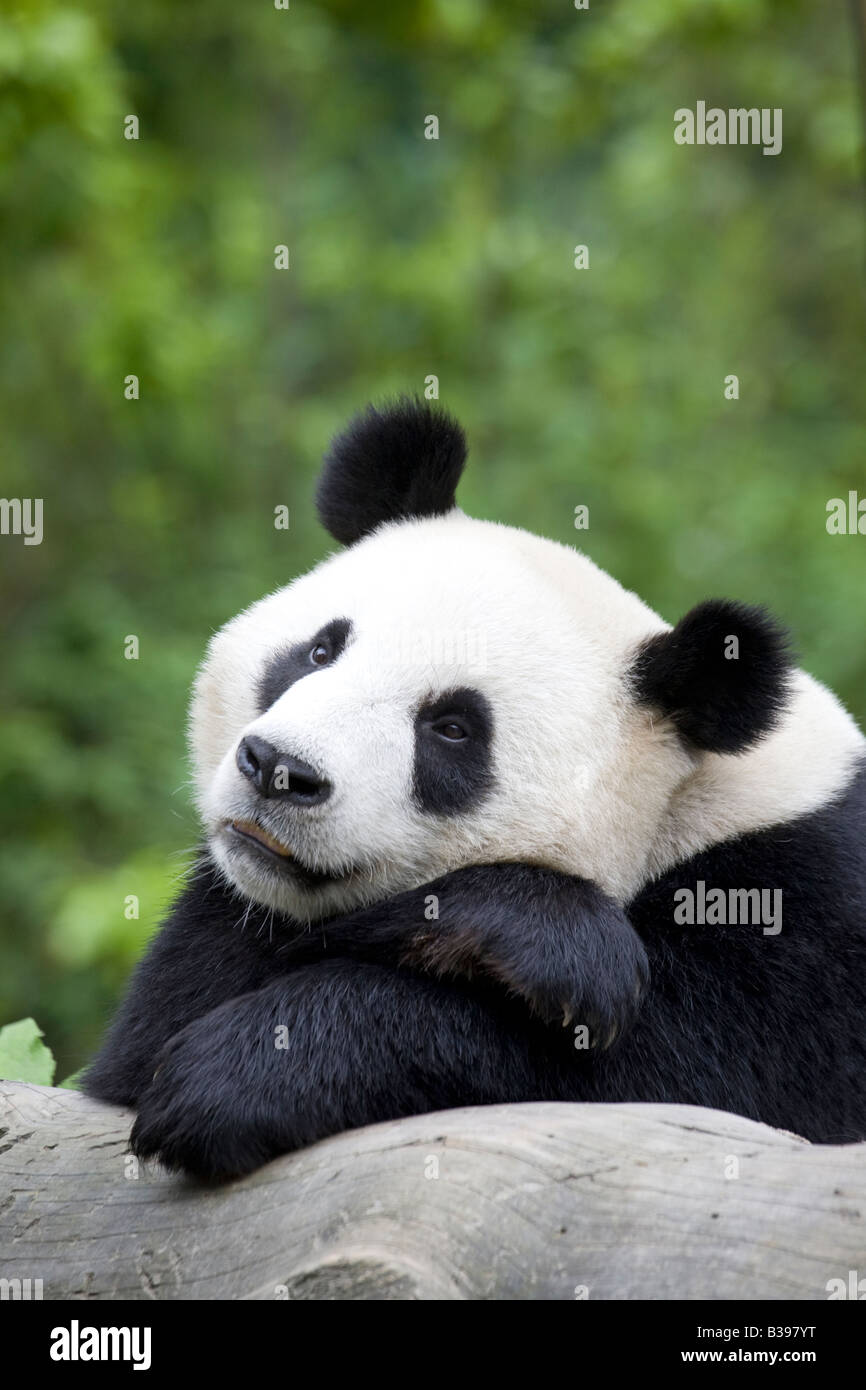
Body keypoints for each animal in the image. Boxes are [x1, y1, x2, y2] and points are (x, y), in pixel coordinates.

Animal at [84, 399, 866, 1179]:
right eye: (319, 651)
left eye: (453, 729)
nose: (278, 767)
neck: (680, 808)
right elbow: (155, 1029)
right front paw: (554, 936)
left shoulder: (801, 916)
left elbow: (669, 1072)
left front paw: (227, 1079)